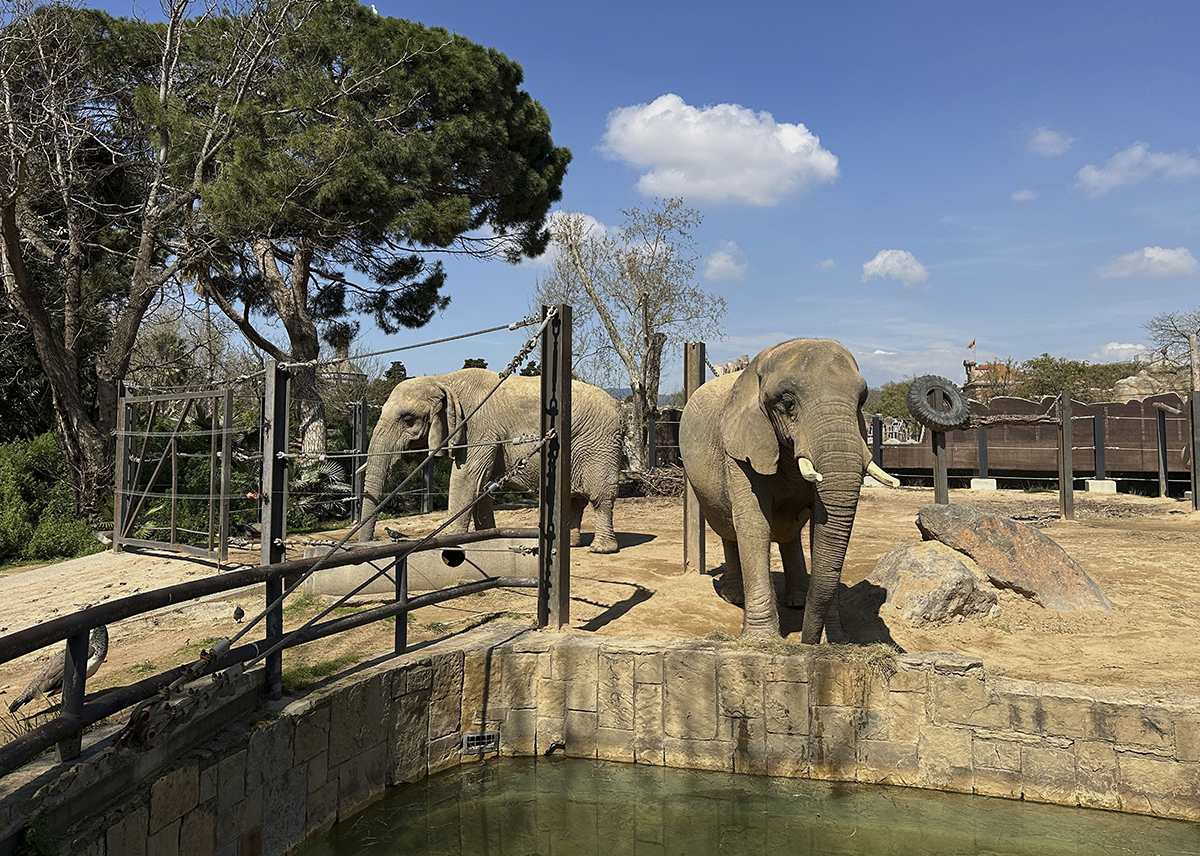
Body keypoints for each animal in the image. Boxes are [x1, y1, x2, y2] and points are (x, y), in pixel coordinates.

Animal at [360, 368, 622, 553]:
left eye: (408, 419)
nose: (366, 545)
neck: (443, 380)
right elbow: (482, 485)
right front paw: (487, 536)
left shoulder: (478, 427)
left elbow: (468, 477)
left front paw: (450, 541)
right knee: (574, 499)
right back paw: (573, 544)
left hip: (599, 444)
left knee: (600, 497)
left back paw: (601, 550)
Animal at [678, 339, 899, 642]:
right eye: (787, 402)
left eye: (862, 401)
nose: (807, 643)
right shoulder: (740, 447)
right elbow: (754, 523)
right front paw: (762, 641)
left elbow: (821, 526)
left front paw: (835, 640)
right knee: (728, 529)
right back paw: (735, 597)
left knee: (789, 534)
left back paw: (798, 601)